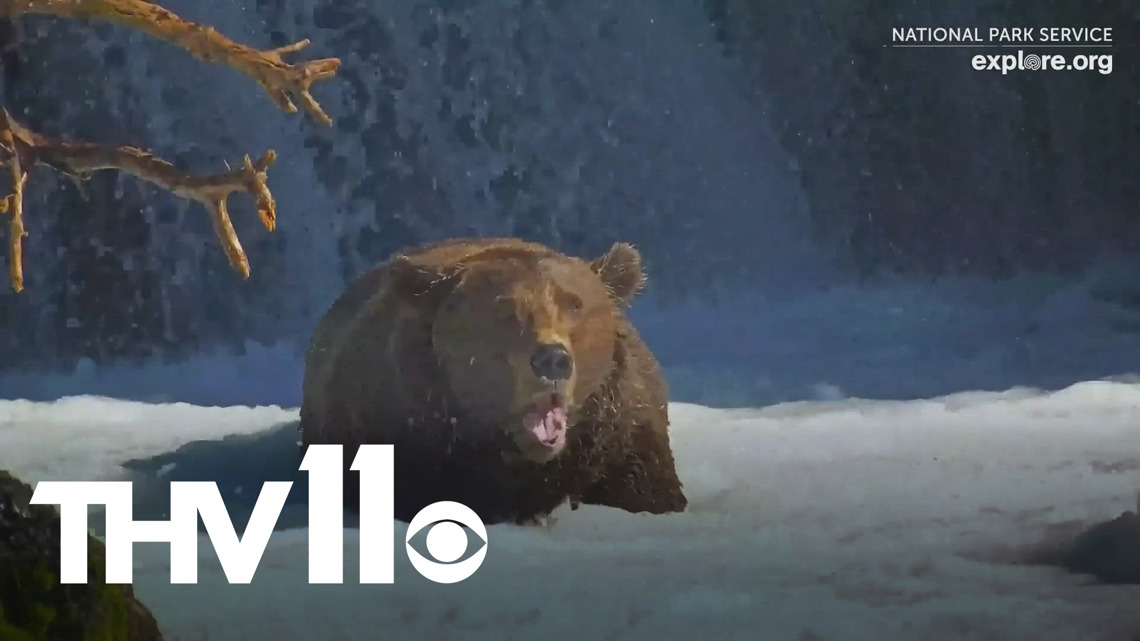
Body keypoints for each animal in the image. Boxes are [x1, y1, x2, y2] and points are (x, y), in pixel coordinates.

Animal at [299, 237, 688, 525]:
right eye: (502, 309)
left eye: (575, 304)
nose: (552, 359)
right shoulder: (403, 439)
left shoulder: (623, 439)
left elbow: (645, 491)